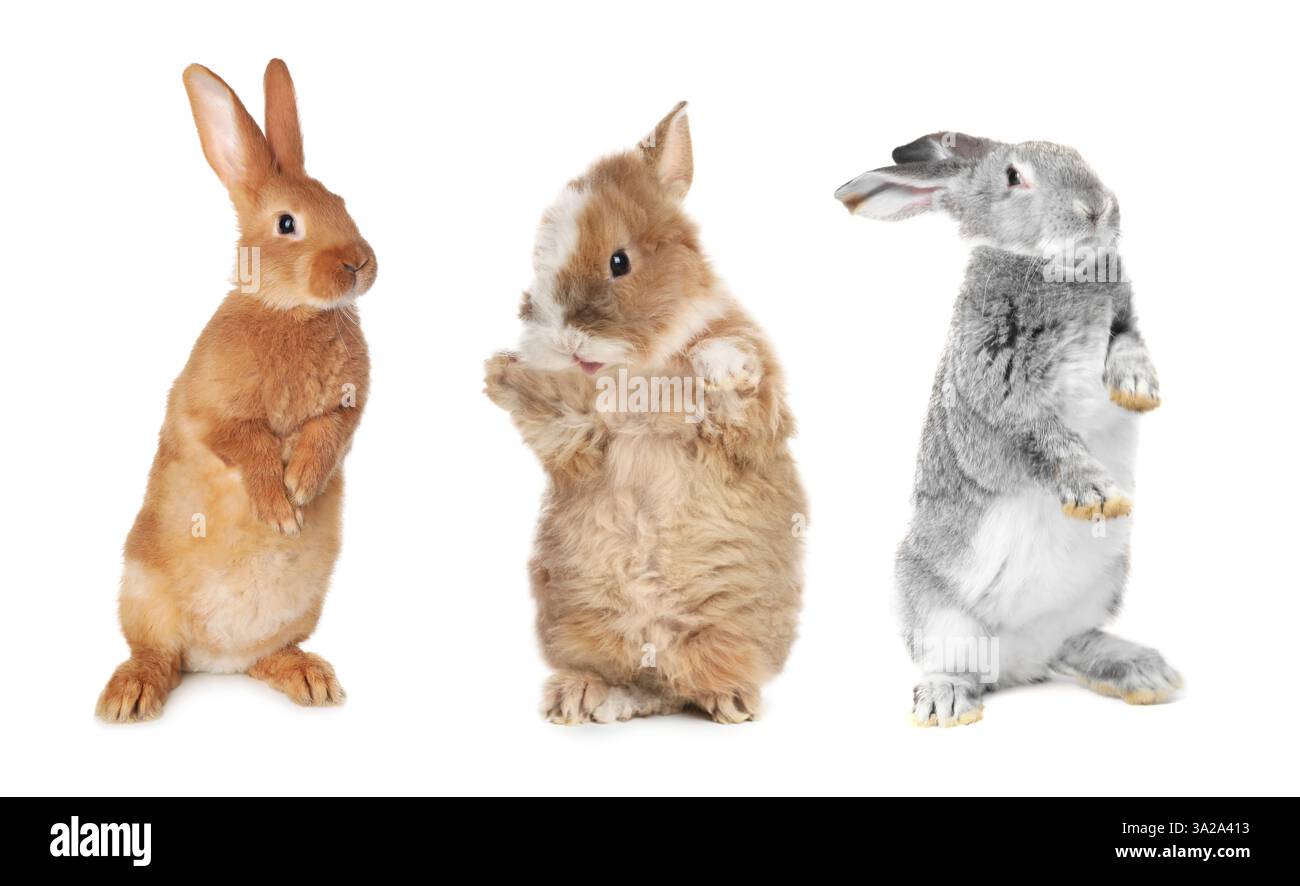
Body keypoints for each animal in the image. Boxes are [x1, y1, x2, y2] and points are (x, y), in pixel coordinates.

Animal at [95, 60, 376, 722]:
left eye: (341, 202)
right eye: (287, 223)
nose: (359, 263)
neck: (290, 309)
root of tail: (214, 661)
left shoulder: (347, 408)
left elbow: (326, 434)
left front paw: (305, 483)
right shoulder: (208, 413)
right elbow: (247, 445)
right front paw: (280, 505)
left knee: (267, 655)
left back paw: (308, 678)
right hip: (142, 591)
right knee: (156, 654)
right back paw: (130, 694)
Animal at [485, 103, 806, 724]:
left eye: (620, 261)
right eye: (538, 270)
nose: (566, 342)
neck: (637, 374)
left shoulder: (750, 430)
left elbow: (737, 386)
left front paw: (717, 361)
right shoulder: (578, 442)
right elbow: (558, 417)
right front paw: (502, 372)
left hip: (725, 634)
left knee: (689, 685)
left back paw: (733, 701)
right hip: (585, 626)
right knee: (633, 685)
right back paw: (579, 697)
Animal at [835, 132, 1180, 727]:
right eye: (1014, 177)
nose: (1097, 208)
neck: (1054, 267)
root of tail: (1022, 659)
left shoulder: (1122, 323)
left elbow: (1127, 345)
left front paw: (1139, 387)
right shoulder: (999, 400)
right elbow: (1050, 440)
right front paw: (1098, 494)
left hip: (1099, 589)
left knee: (1073, 643)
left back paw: (1141, 672)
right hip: (934, 607)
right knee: (958, 663)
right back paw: (947, 700)